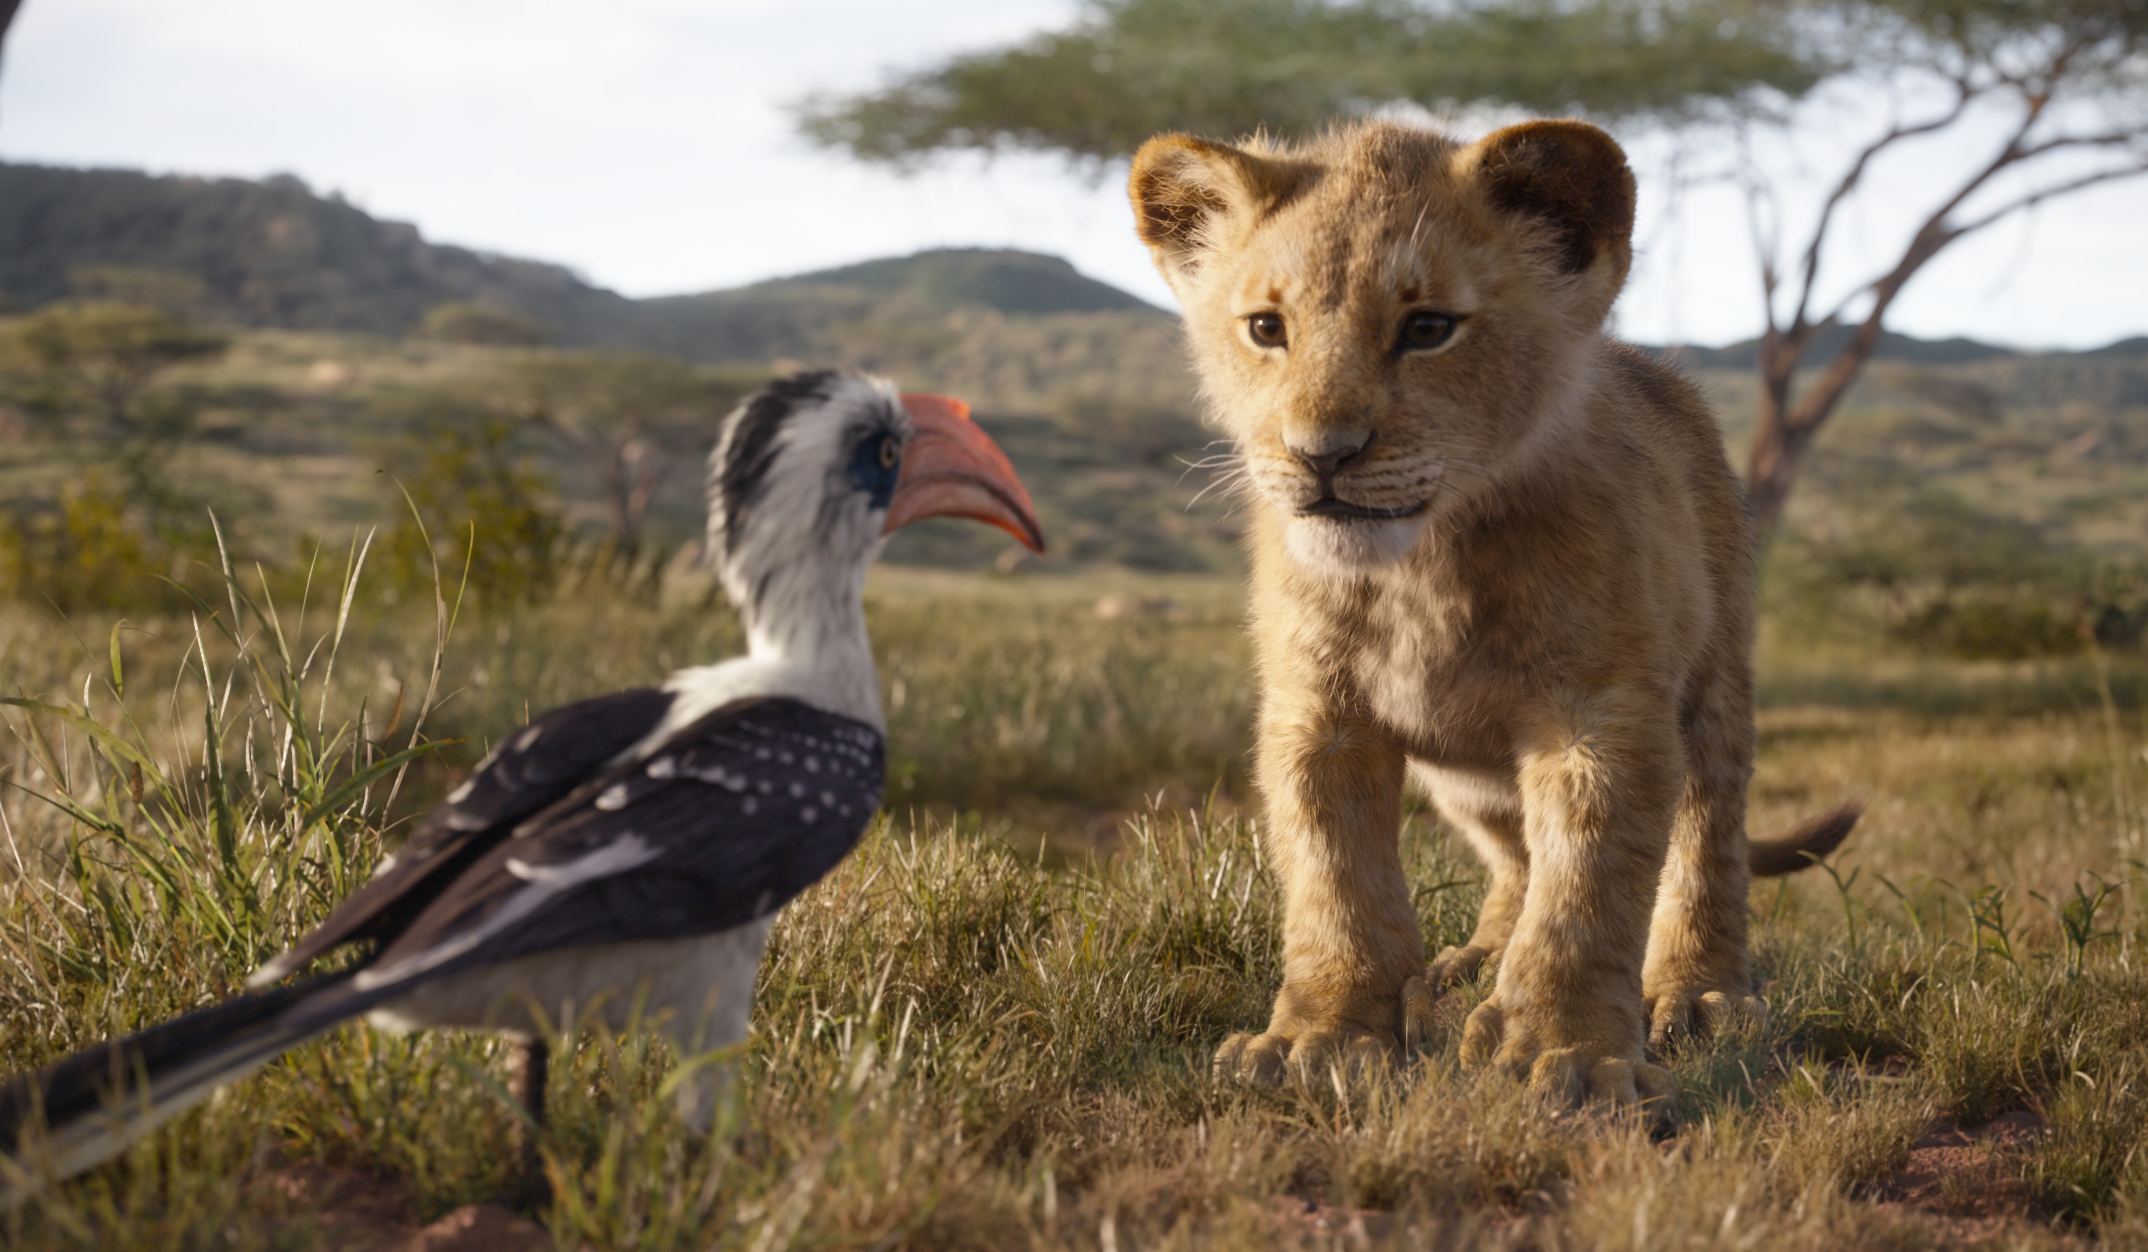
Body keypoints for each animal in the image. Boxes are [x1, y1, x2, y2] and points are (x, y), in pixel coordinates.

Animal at [1126, 118, 1858, 1117]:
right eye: (1267, 329)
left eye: (1428, 328)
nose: (1322, 455)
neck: (1423, 567)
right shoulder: (1318, 716)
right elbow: (1334, 880)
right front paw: (1323, 1038)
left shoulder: (1600, 714)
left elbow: (1588, 889)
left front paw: (1569, 1055)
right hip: (1466, 778)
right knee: (1515, 857)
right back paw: (1472, 963)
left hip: (1714, 686)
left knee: (1707, 837)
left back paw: (1699, 994)